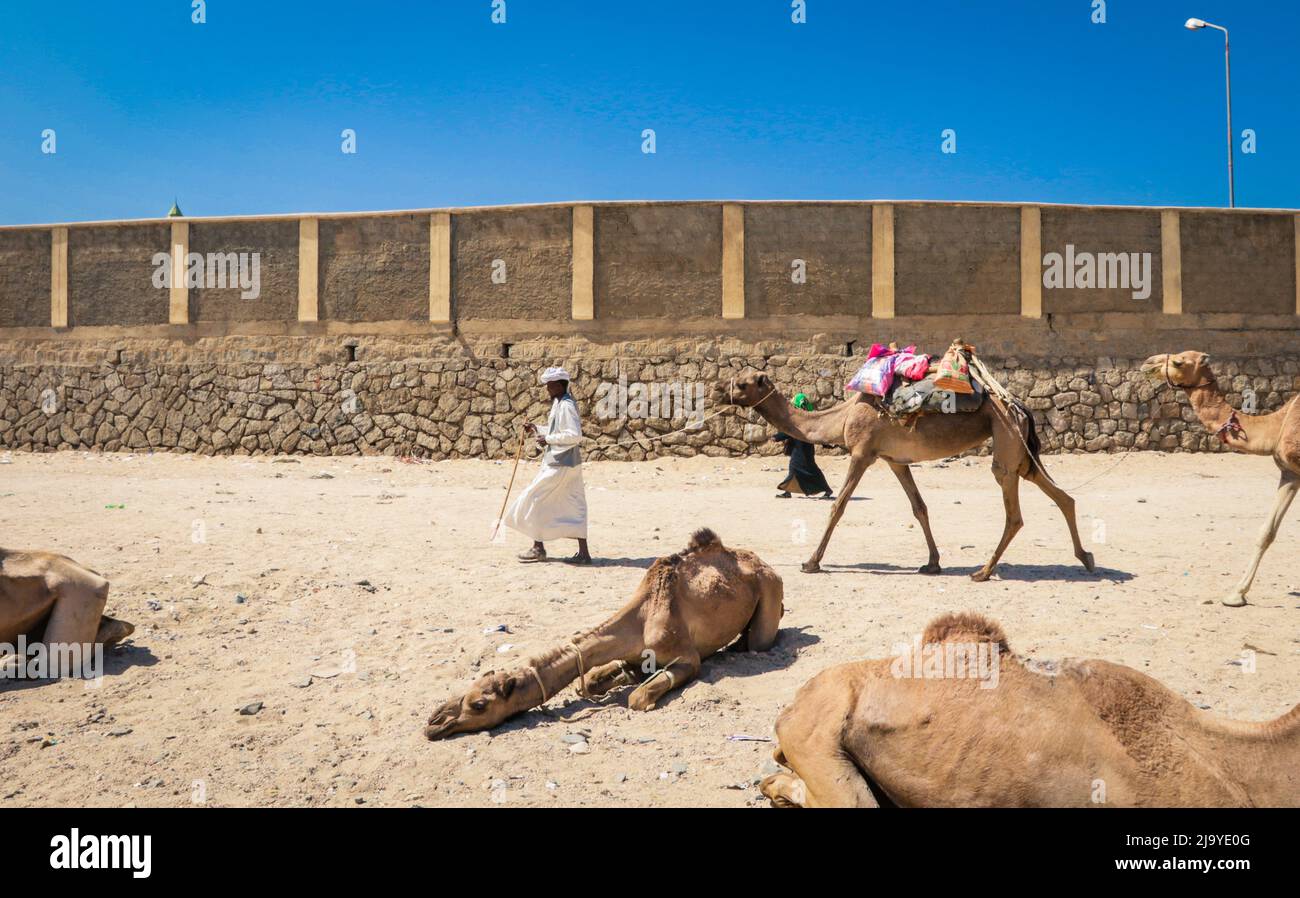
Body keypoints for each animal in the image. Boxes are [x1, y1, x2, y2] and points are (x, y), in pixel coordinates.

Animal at [424, 528, 783, 739]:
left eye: (479, 705)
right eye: (467, 690)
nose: (434, 722)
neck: (638, 621)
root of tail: (763, 562)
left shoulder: (687, 658)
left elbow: (639, 697)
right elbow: (597, 679)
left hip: (770, 590)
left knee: (762, 638)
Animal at [715, 371, 1094, 579]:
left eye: (744, 383)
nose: (719, 389)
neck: (842, 417)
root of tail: (1019, 405)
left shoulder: (863, 453)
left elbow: (838, 507)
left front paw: (811, 562)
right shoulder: (894, 460)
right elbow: (919, 507)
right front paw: (932, 563)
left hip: (1004, 436)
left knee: (1013, 510)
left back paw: (984, 572)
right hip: (1020, 450)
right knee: (1062, 496)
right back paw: (1086, 558)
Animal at [1142, 351, 1300, 607]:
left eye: (1178, 361)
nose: (1148, 364)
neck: (1276, 428)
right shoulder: (1290, 473)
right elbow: (1266, 532)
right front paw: (1236, 594)